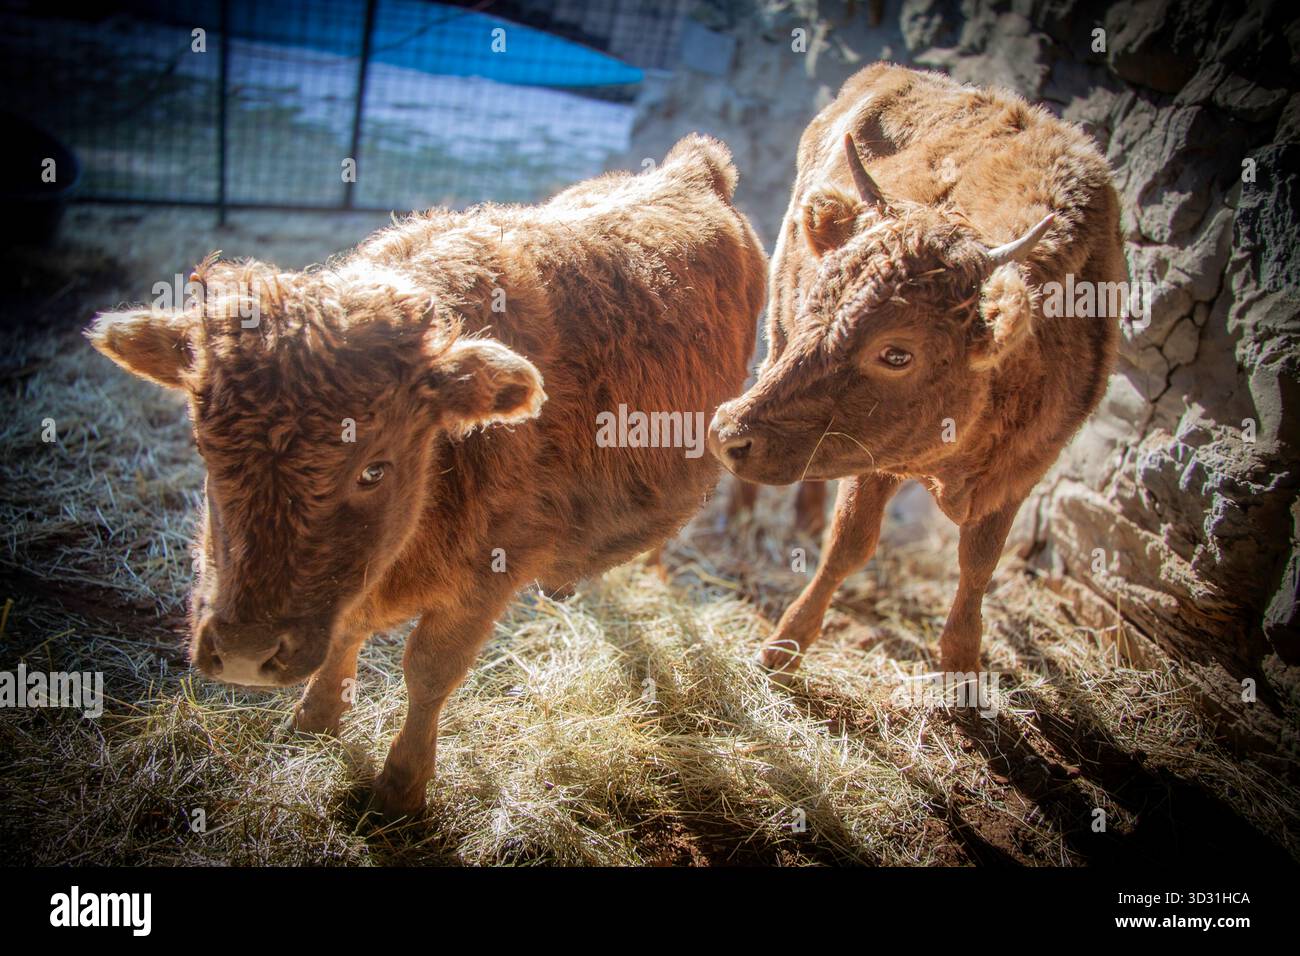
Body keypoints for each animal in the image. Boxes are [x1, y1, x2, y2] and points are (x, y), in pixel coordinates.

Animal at [87, 134, 767, 818]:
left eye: (373, 469)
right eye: (205, 449)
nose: (246, 655)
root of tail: (695, 169)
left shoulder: (486, 581)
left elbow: (430, 670)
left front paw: (400, 788)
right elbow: (345, 632)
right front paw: (314, 720)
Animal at [708, 64, 1125, 678]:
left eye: (898, 353)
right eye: (817, 298)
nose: (727, 435)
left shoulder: (1022, 470)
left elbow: (978, 565)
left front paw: (962, 665)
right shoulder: (875, 461)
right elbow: (850, 544)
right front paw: (784, 645)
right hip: (776, 337)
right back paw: (742, 523)